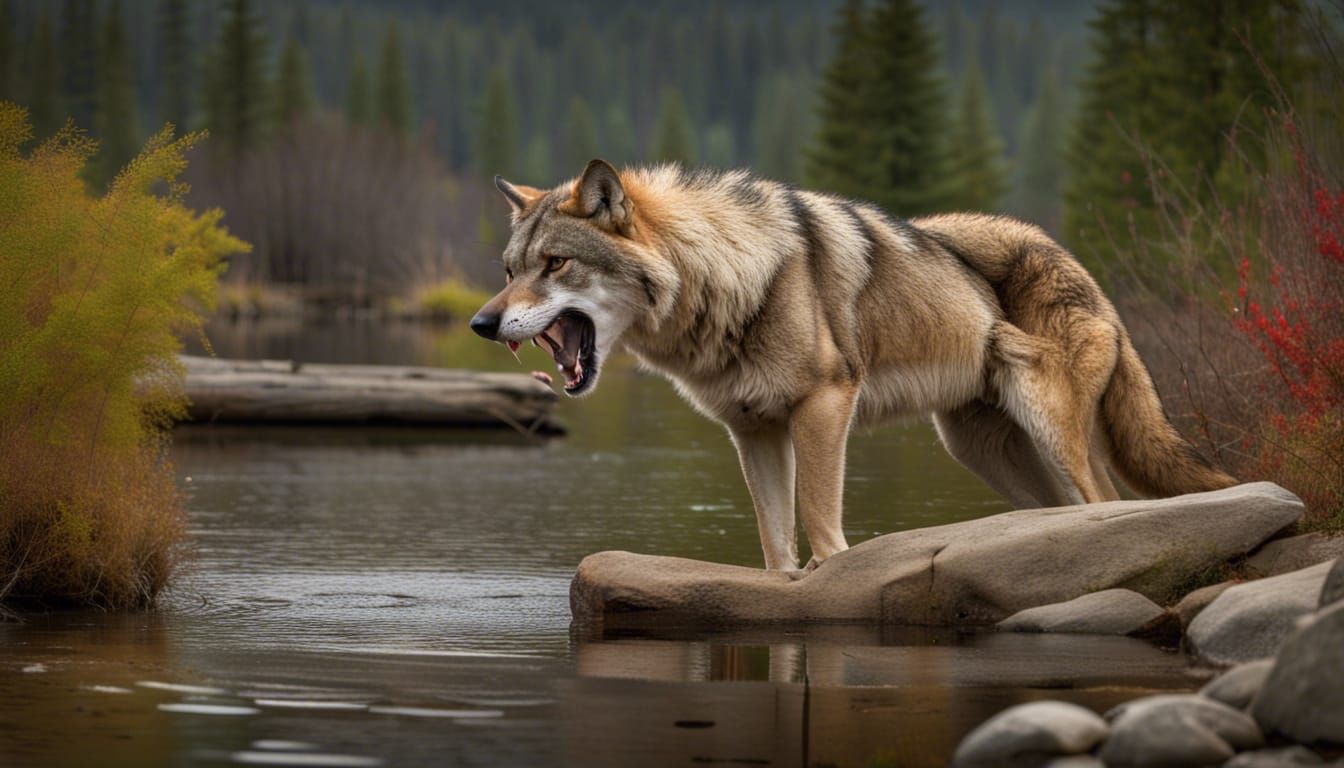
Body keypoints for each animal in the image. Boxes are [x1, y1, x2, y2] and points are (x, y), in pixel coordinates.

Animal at [470, 159, 1237, 573]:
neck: (730, 280)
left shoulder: (824, 406)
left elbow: (820, 516)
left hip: (1050, 434)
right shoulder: (753, 431)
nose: (480, 323)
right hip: (985, 453)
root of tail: (1087, 272)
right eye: (508, 270)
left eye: (555, 264)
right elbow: (774, 539)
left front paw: (832, 571)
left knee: (1108, 504)